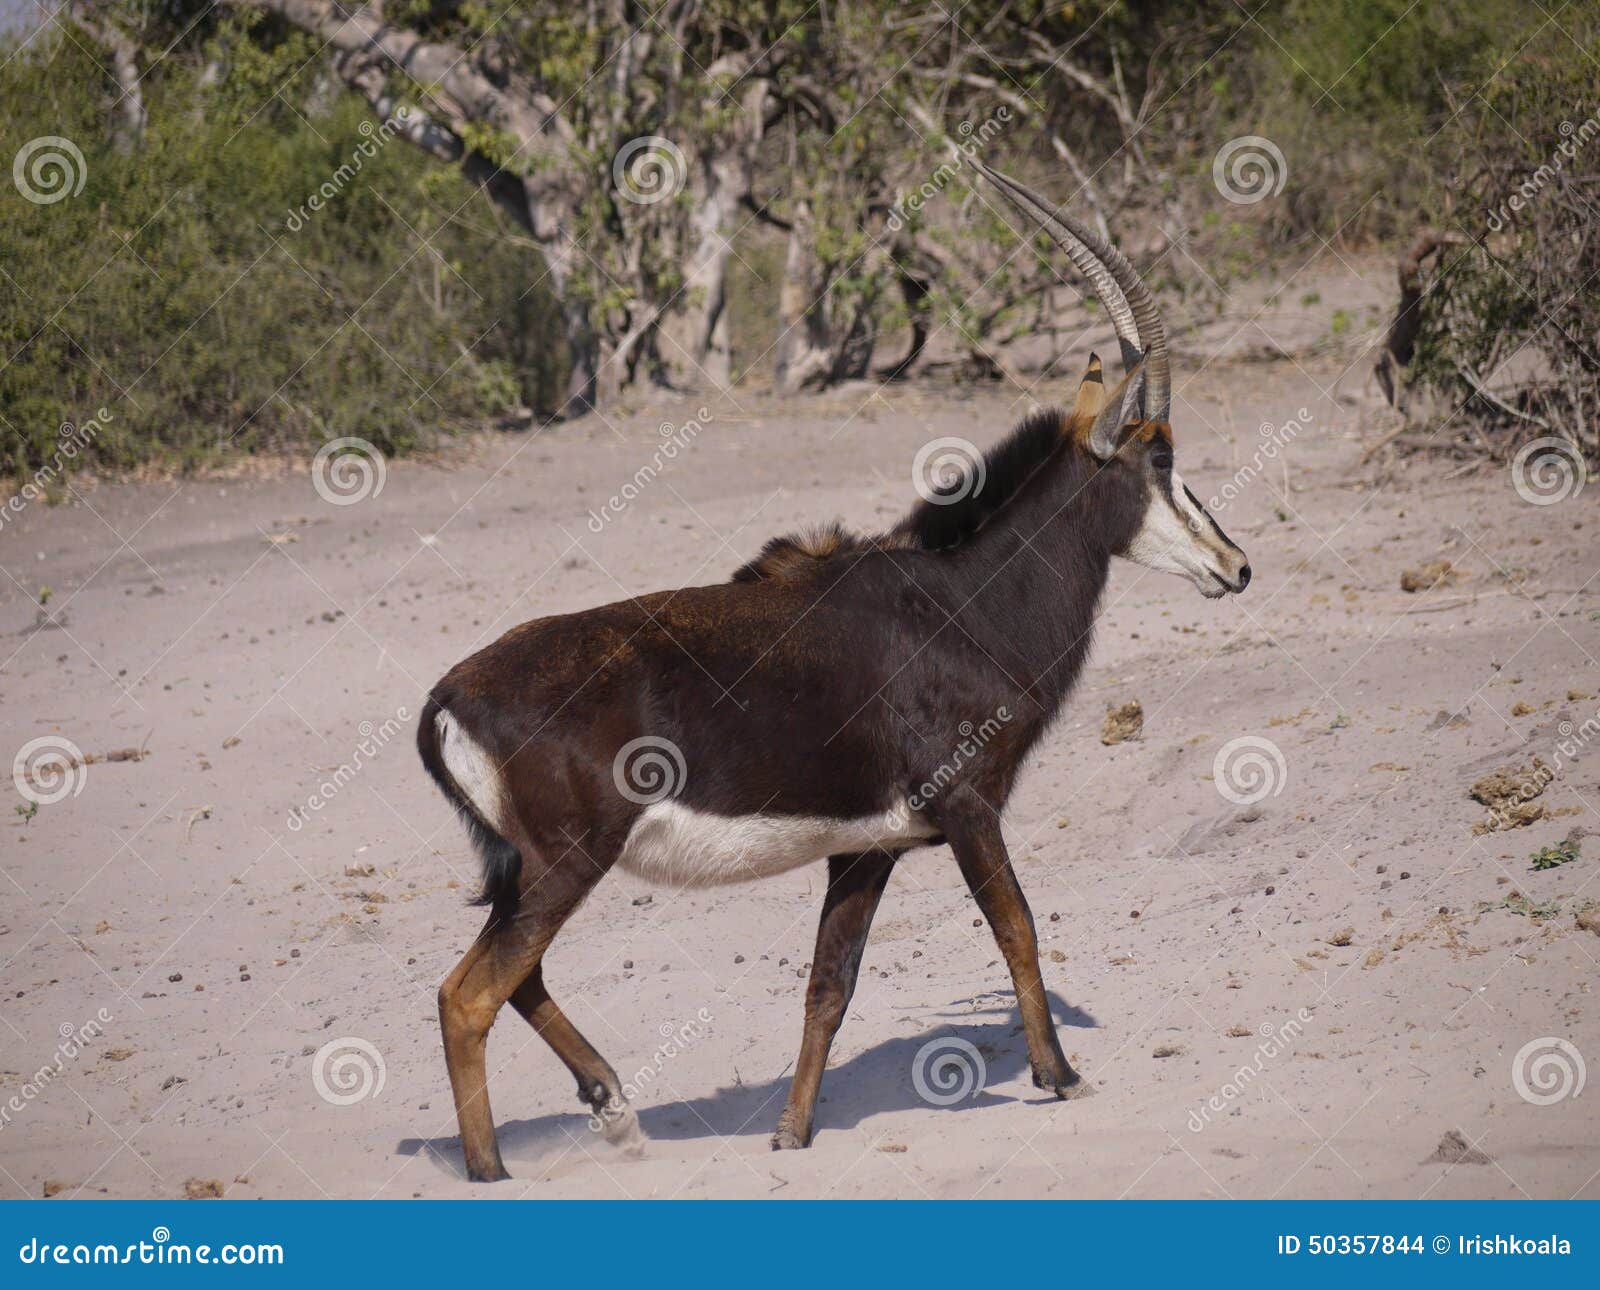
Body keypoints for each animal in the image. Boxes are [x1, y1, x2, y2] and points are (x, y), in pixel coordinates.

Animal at [417, 162, 1251, 1181]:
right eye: (1160, 458)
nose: (1235, 566)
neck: (962, 603)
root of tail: (447, 698)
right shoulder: (968, 807)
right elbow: (1018, 927)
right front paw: (1060, 1075)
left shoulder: (867, 847)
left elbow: (829, 984)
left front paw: (792, 1129)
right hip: (566, 861)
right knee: (469, 994)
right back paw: (493, 1169)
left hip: (533, 871)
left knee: (517, 976)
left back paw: (611, 1106)